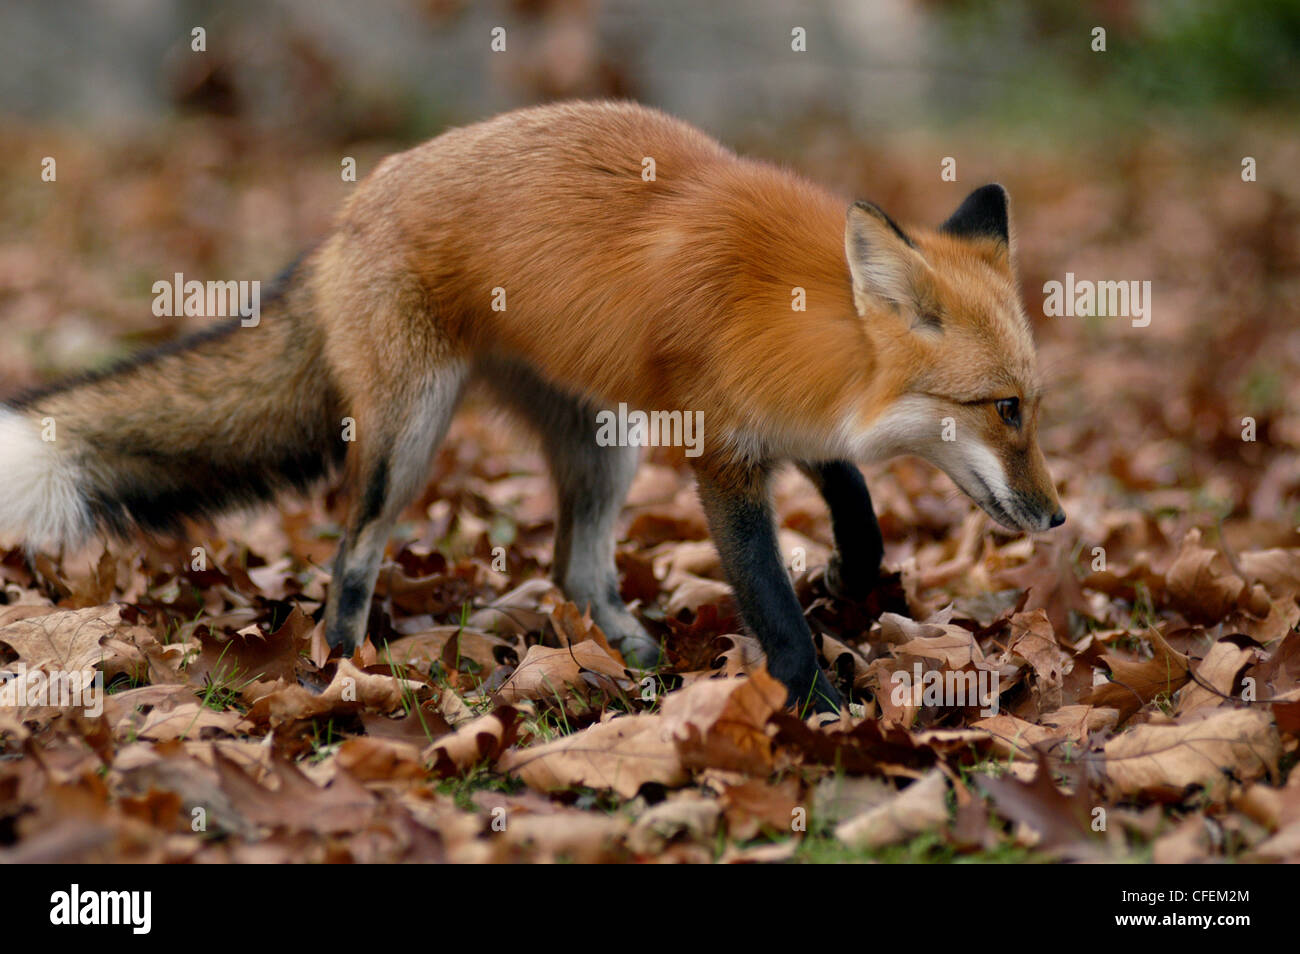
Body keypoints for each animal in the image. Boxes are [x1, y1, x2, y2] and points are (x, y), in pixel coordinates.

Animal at [0, 101, 1062, 713]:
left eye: (1034, 406)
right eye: (1003, 408)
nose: (1057, 518)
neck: (788, 310)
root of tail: (344, 217)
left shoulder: (774, 421)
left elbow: (855, 501)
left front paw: (853, 573)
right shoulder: (719, 456)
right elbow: (770, 601)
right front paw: (817, 703)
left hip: (604, 441)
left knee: (573, 568)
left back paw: (637, 660)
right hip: (409, 440)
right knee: (352, 555)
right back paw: (347, 675)